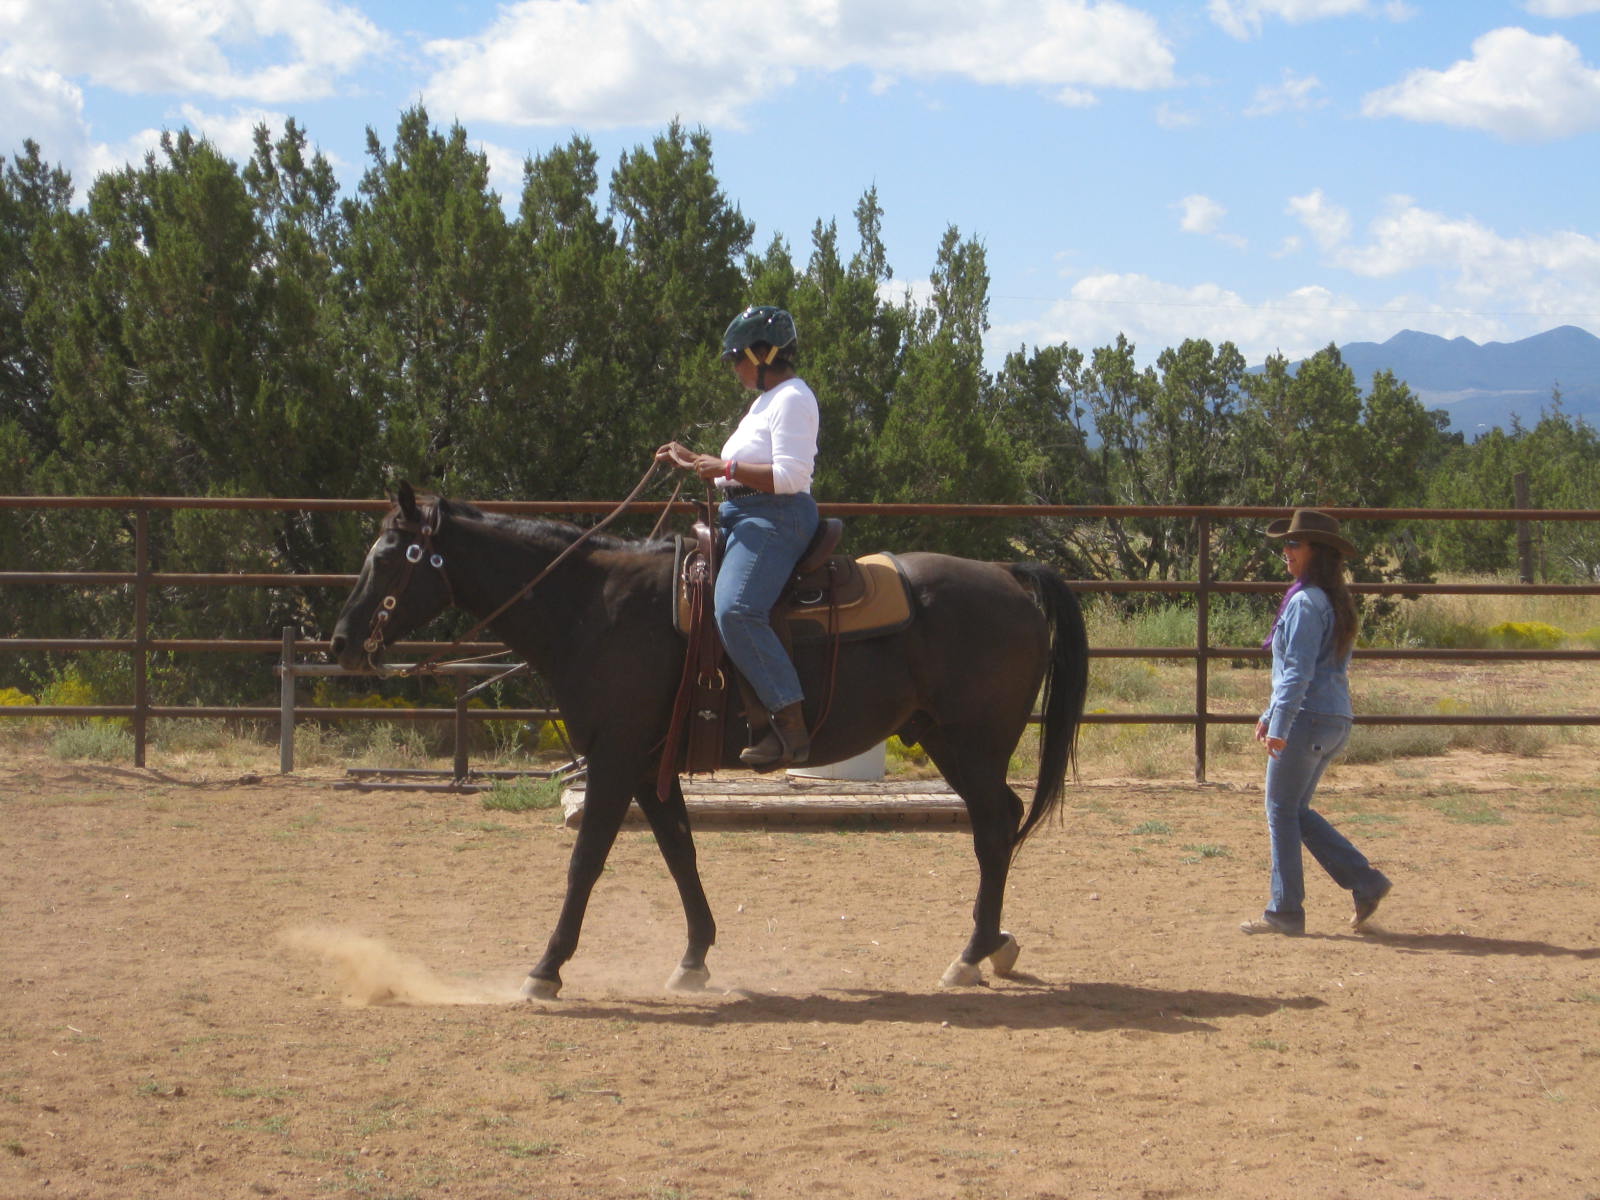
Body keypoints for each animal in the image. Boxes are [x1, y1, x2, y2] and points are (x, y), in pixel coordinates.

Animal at [329, 482, 1089, 999]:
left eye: (389, 556)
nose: (340, 642)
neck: (594, 607)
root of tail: (1008, 576)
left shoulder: (614, 760)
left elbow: (586, 861)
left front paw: (545, 969)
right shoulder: (645, 765)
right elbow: (680, 853)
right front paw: (694, 958)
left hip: (972, 744)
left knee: (994, 827)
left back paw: (972, 953)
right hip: (945, 740)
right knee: (999, 823)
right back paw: (990, 947)